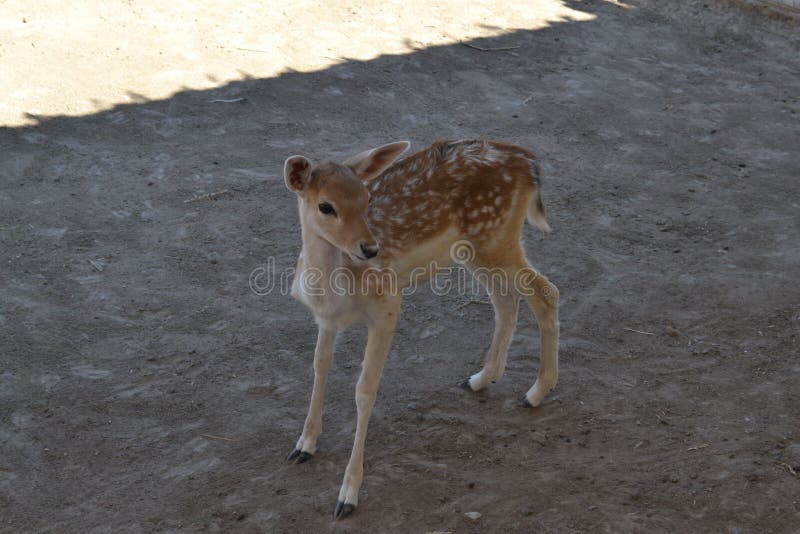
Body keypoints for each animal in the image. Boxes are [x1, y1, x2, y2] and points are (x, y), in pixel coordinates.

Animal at [282, 139, 560, 519]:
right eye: (326, 205)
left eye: (366, 198)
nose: (370, 248)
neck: (335, 290)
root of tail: (529, 163)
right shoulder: (325, 319)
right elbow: (319, 366)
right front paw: (304, 445)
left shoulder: (387, 304)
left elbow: (364, 390)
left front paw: (348, 494)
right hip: (477, 247)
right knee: (506, 300)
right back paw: (480, 379)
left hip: (495, 236)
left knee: (545, 291)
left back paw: (535, 392)